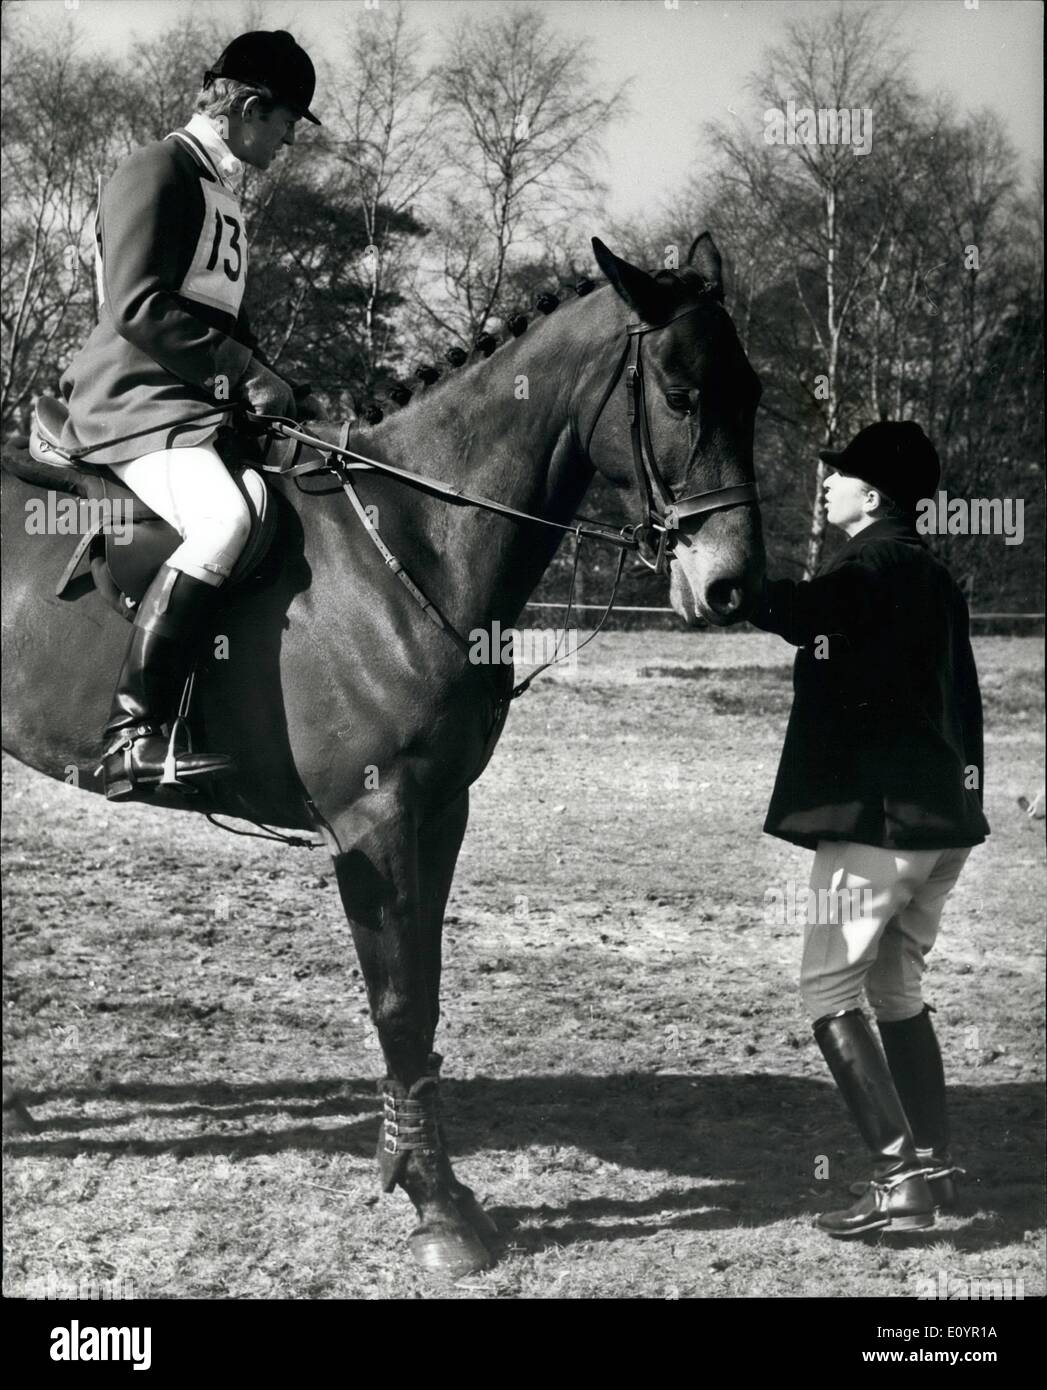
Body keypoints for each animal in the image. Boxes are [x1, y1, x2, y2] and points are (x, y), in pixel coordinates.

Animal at [1, 234, 765, 1277]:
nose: (731, 586)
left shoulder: (440, 810)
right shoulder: (374, 819)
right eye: (682, 395)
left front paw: (414, 1169)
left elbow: (425, 994)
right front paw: (438, 1207)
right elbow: (398, 1000)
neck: (414, 542)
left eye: (754, 394)